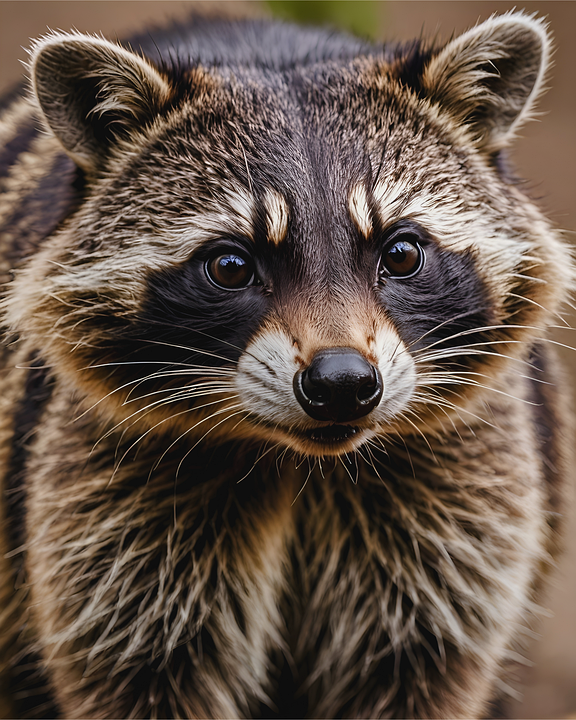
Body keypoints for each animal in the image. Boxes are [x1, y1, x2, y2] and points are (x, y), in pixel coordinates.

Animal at [0, 9, 572, 719]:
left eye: (402, 253)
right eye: (230, 265)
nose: (342, 383)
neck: (297, 463)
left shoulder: (465, 501)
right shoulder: (104, 511)